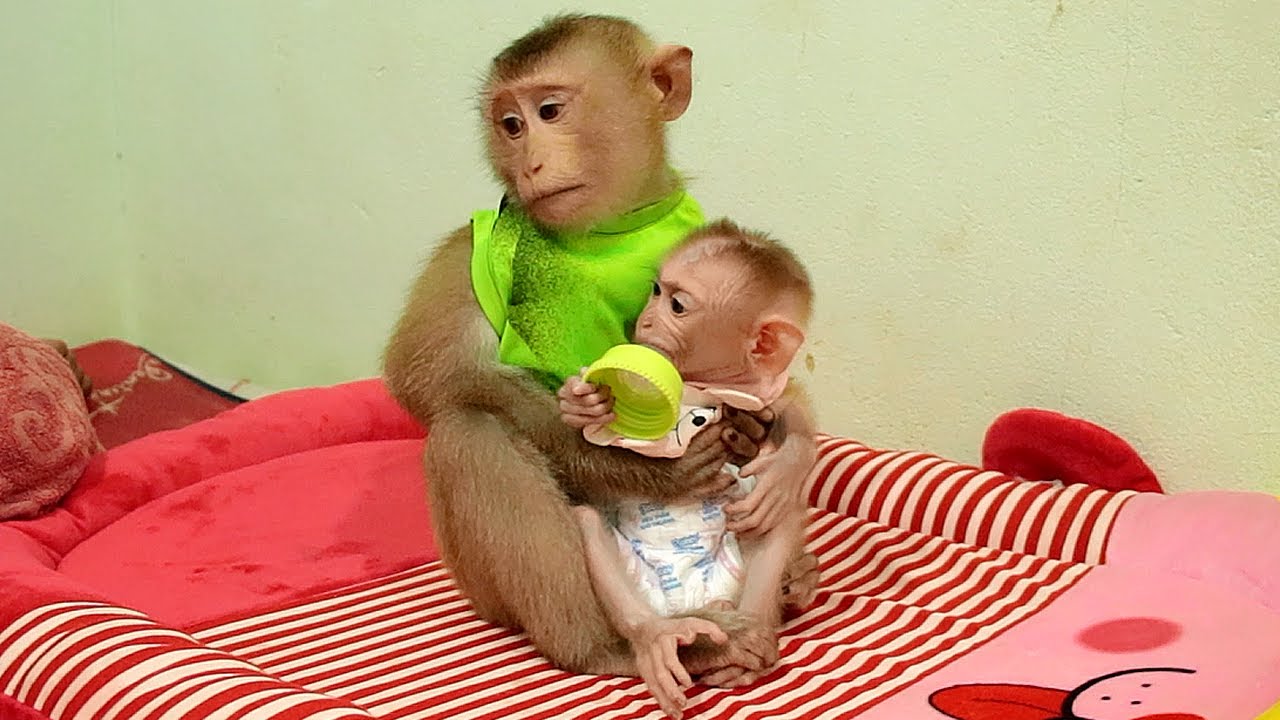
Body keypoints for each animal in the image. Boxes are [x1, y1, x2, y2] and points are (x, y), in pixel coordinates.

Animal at [382, 14, 801, 698]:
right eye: (511, 124)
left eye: (550, 111)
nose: (529, 161)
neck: (609, 230)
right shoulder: (475, 243)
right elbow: (428, 375)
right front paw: (637, 471)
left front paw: (770, 446)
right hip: (496, 591)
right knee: (468, 430)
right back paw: (618, 647)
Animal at [559, 220, 818, 717]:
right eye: (655, 291)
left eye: (677, 305)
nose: (646, 321)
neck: (702, 384)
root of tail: (691, 599)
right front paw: (581, 402)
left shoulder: (754, 393)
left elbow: (786, 414)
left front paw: (788, 463)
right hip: (641, 584)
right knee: (586, 523)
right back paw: (661, 640)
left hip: (734, 569)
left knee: (779, 517)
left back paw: (747, 642)